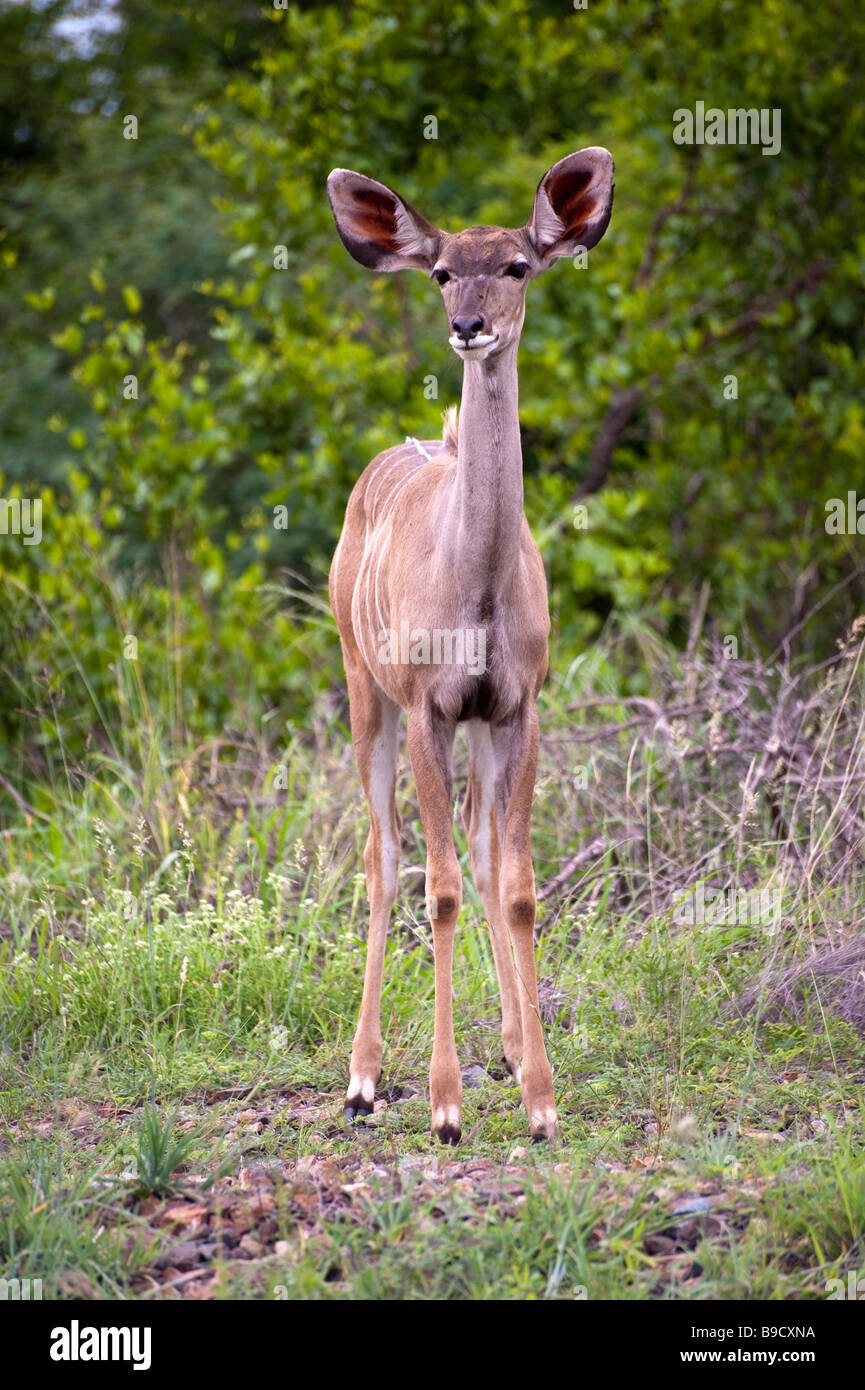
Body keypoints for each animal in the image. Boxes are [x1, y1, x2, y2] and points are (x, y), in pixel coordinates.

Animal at [327, 149, 614, 1143]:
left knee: (485, 857)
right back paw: (362, 1081)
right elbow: (438, 886)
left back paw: (510, 1050)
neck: (478, 589)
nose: (468, 327)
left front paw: (542, 1100)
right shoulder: (428, 705)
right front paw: (445, 1106)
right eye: (443, 271)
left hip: (476, 727)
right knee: (381, 859)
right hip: (362, 689)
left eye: (518, 265)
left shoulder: (516, 704)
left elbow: (514, 885)